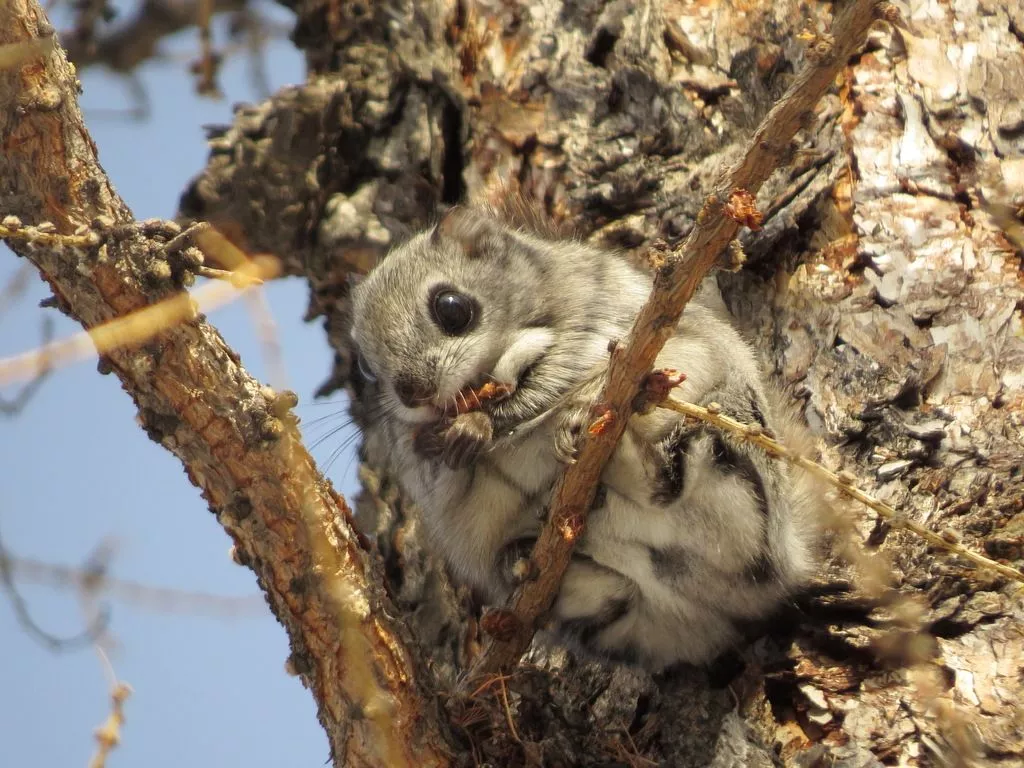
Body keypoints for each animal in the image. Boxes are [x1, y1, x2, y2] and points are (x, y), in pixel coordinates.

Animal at [349, 203, 821, 669]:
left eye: (451, 307)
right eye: (366, 369)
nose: (411, 393)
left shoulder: (594, 329)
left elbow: (547, 386)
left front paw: (481, 425)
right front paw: (444, 438)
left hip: (724, 438)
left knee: (671, 487)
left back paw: (607, 443)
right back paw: (524, 559)